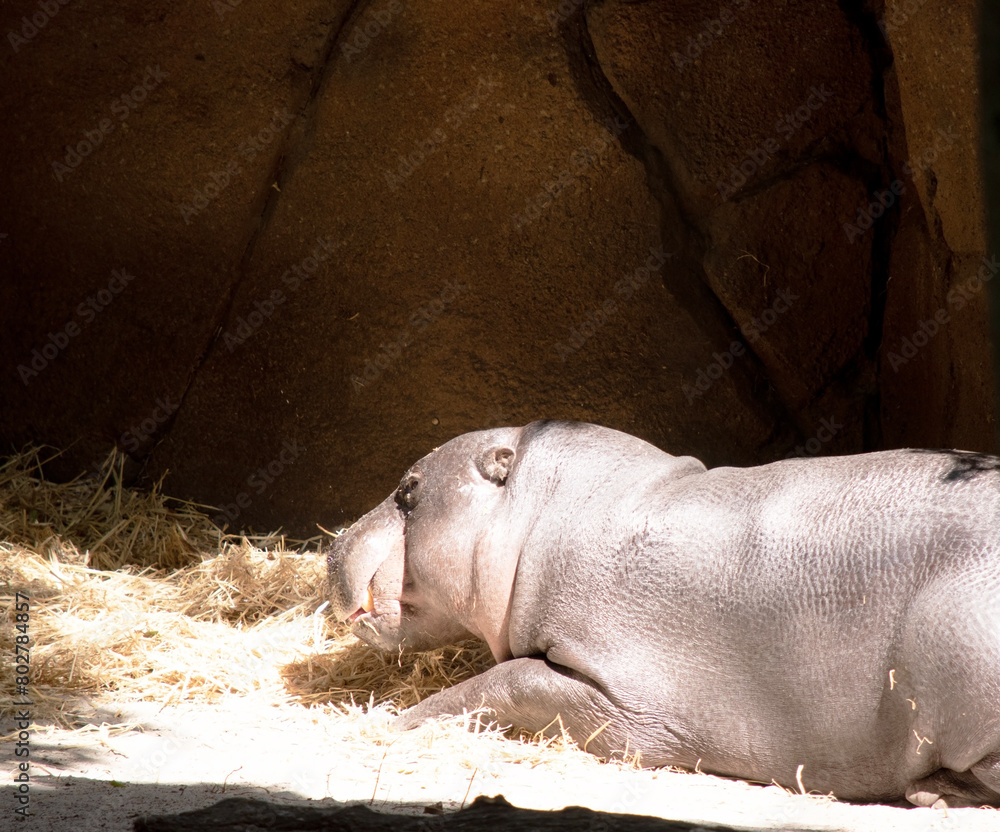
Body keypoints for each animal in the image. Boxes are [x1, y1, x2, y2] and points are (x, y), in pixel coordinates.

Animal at [326, 420, 1000, 808]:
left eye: (409, 490)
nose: (332, 545)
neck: (544, 511)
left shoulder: (617, 700)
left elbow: (501, 683)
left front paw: (392, 721)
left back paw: (932, 796)